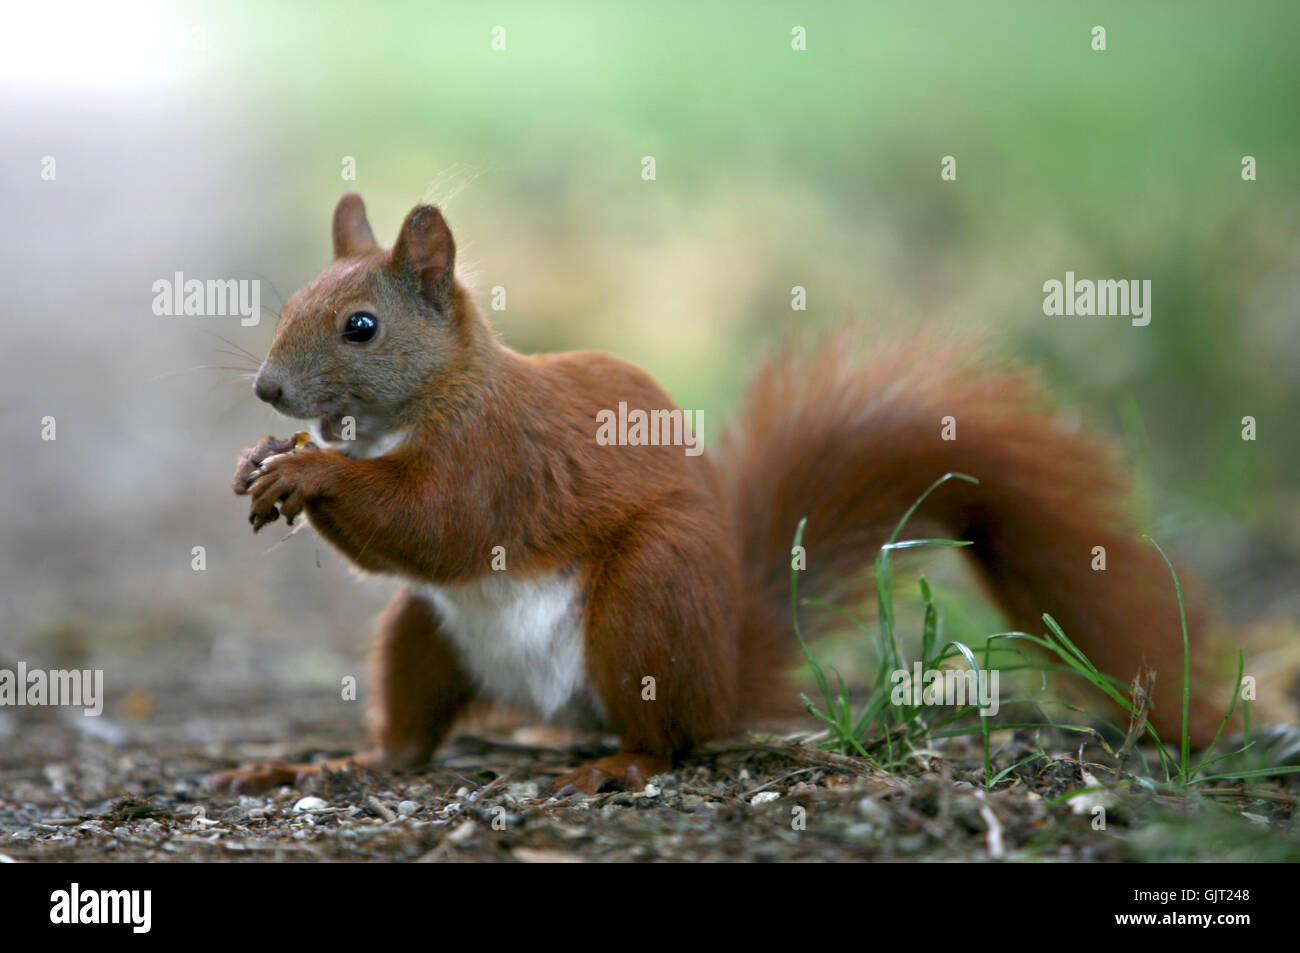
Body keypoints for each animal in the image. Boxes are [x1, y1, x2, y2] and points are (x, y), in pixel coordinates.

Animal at [210, 193, 1226, 794]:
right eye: (293, 301)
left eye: (362, 327)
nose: (267, 391)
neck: (426, 406)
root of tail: (729, 669)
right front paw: (260, 460)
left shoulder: (497, 461)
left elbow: (436, 525)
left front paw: (306, 470)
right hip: (421, 633)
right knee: (411, 734)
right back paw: (333, 761)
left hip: (648, 601)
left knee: (671, 736)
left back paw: (617, 764)